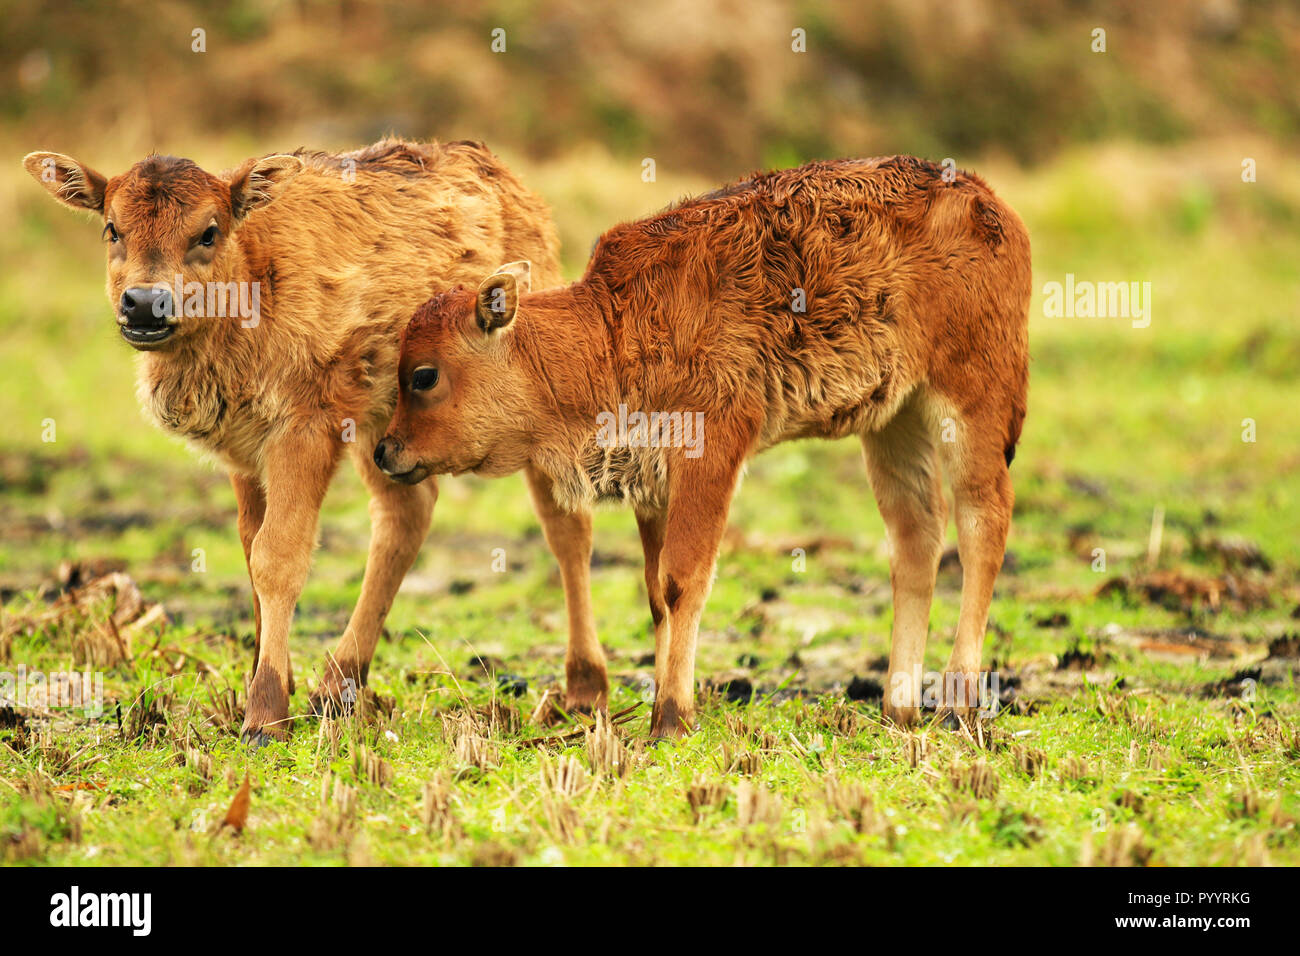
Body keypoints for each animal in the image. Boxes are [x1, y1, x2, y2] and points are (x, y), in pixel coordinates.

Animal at [21, 138, 606, 746]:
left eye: (209, 231)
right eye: (112, 228)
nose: (143, 303)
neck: (253, 276)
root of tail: (515, 188)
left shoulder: (303, 433)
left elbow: (278, 556)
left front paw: (264, 715)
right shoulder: (246, 451)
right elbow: (250, 547)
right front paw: (273, 688)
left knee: (566, 526)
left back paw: (584, 689)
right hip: (383, 429)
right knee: (405, 514)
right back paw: (336, 687)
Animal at [375, 157, 1032, 739]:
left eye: (425, 376)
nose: (385, 451)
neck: (608, 331)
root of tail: (992, 204)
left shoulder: (710, 452)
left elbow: (681, 579)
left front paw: (670, 718)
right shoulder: (653, 484)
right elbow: (654, 593)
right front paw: (665, 704)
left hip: (970, 405)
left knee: (984, 522)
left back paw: (958, 705)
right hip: (895, 420)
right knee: (917, 538)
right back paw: (899, 708)